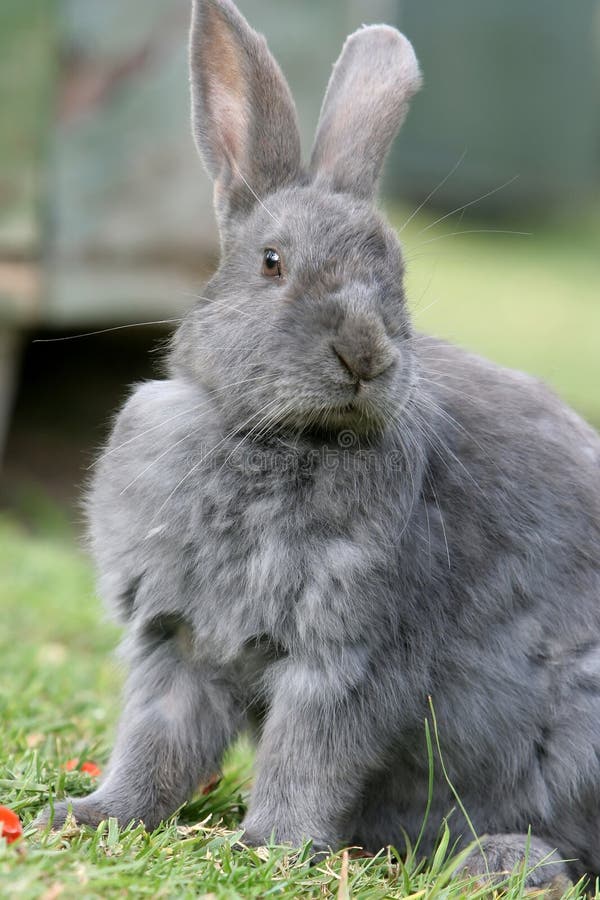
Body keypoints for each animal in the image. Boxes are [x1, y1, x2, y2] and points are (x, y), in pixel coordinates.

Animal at [37, 0, 600, 888]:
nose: (364, 355)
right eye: (272, 262)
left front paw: (268, 850)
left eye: (396, 278)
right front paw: (93, 816)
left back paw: (505, 862)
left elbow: (309, 760)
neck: (275, 438)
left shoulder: (347, 657)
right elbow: (156, 744)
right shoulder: (179, 637)